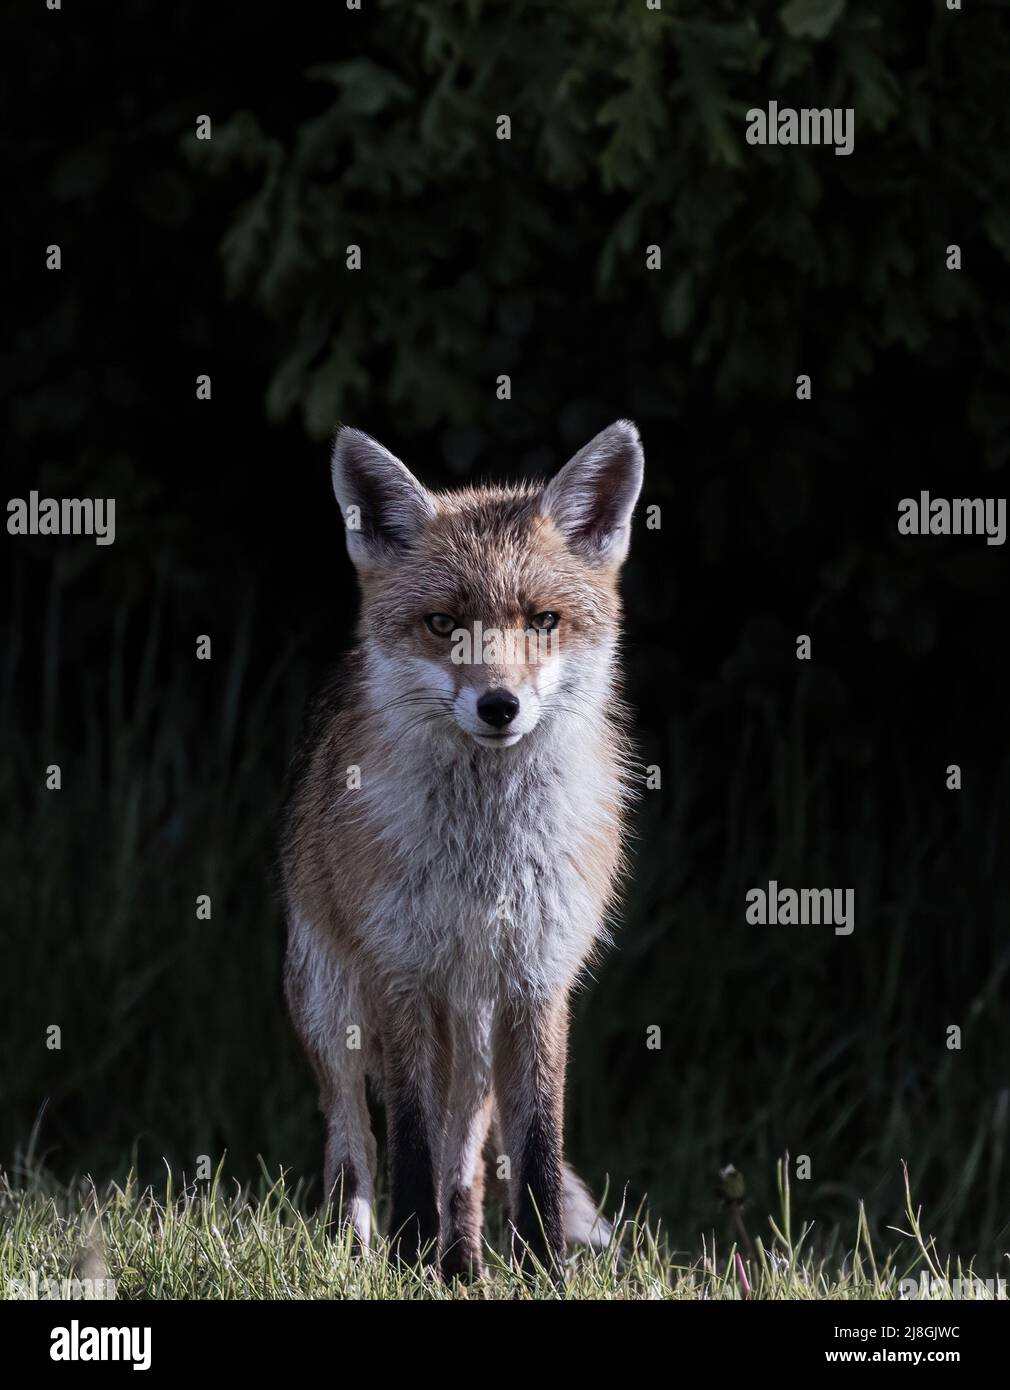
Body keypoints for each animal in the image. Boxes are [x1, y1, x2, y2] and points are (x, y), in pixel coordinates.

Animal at [281, 419, 644, 1280]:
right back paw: (362, 1250)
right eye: (444, 624)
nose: (499, 705)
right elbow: (408, 1142)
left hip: (476, 1039)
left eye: (543, 621)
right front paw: (407, 1258)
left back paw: (466, 1262)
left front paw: (544, 1272)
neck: (484, 866)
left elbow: (533, 1147)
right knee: (353, 1140)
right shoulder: (402, 975)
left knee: (469, 1157)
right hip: (331, 1006)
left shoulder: (539, 982)